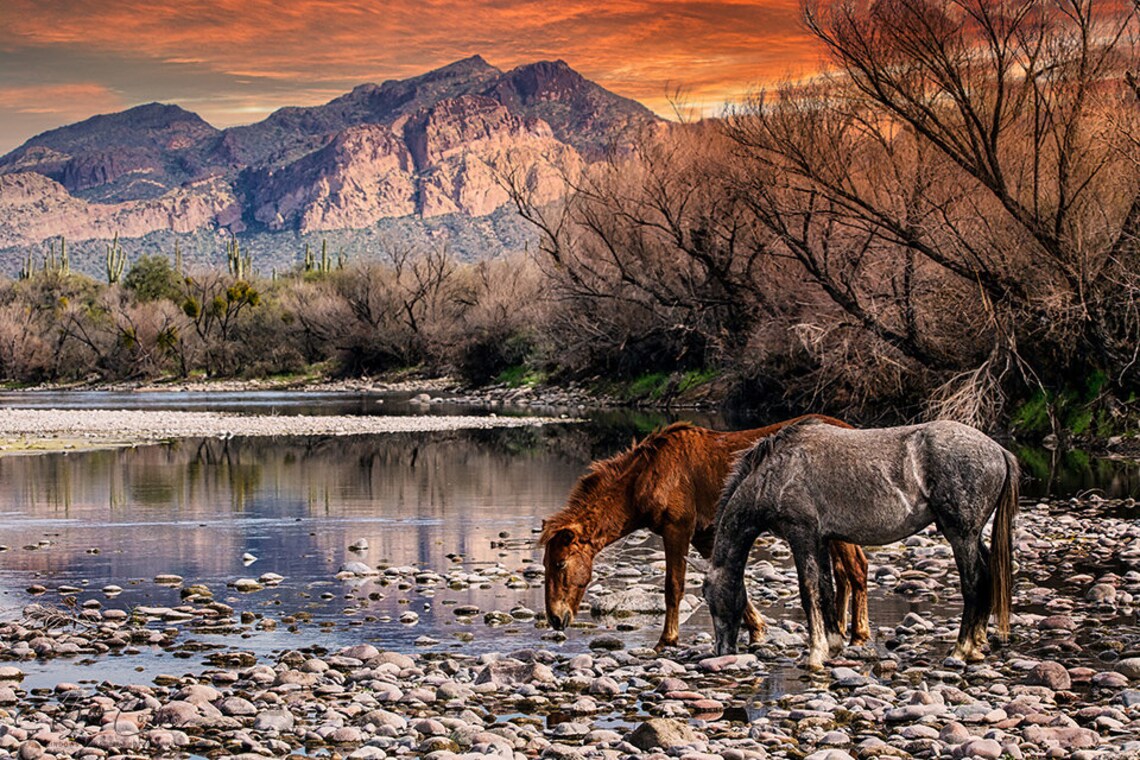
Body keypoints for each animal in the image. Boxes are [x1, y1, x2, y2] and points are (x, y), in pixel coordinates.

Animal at [540, 415, 871, 651]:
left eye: (560, 563)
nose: (555, 619)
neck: (646, 477)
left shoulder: (677, 529)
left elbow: (673, 586)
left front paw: (667, 639)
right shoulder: (703, 536)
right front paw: (757, 630)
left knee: (855, 569)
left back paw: (859, 634)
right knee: (844, 573)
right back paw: (841, 629)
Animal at [703, 418, 1018, 670]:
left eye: (707, 597)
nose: (722, 651)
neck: (774, 473)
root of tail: (999, 451)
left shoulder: (801, 535)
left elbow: (809, 592)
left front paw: (815, 654)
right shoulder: (822, 539)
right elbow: (826, 589)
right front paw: (833, 644)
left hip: (961, 536)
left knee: (974, 584)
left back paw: (961, 650)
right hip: (971, 536)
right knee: (987, 576)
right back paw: (976, 647)